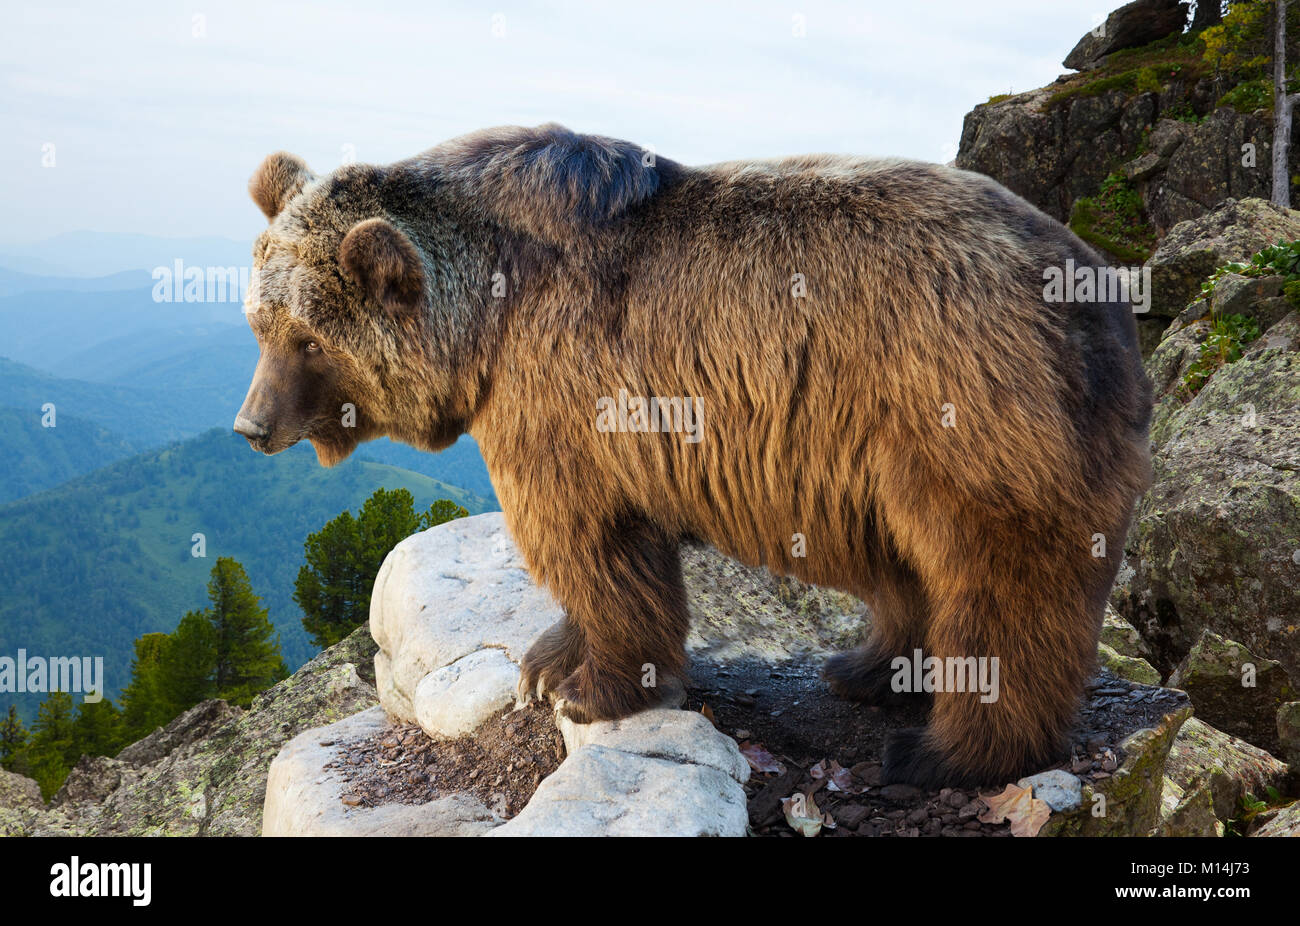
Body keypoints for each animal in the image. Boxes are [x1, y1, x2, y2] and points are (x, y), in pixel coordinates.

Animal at [235, 123, 1152, 788]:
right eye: (261, 322)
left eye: (310, 340)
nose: (251, 426)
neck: (484, 322)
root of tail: (1099, 287)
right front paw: (546, 663)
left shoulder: (562, 398)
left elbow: (591, 543)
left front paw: (592, 689)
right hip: (883, 457)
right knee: (911, 568)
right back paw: (864, 667)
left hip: (961, 408)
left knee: (998, 582)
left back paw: (946, 753)